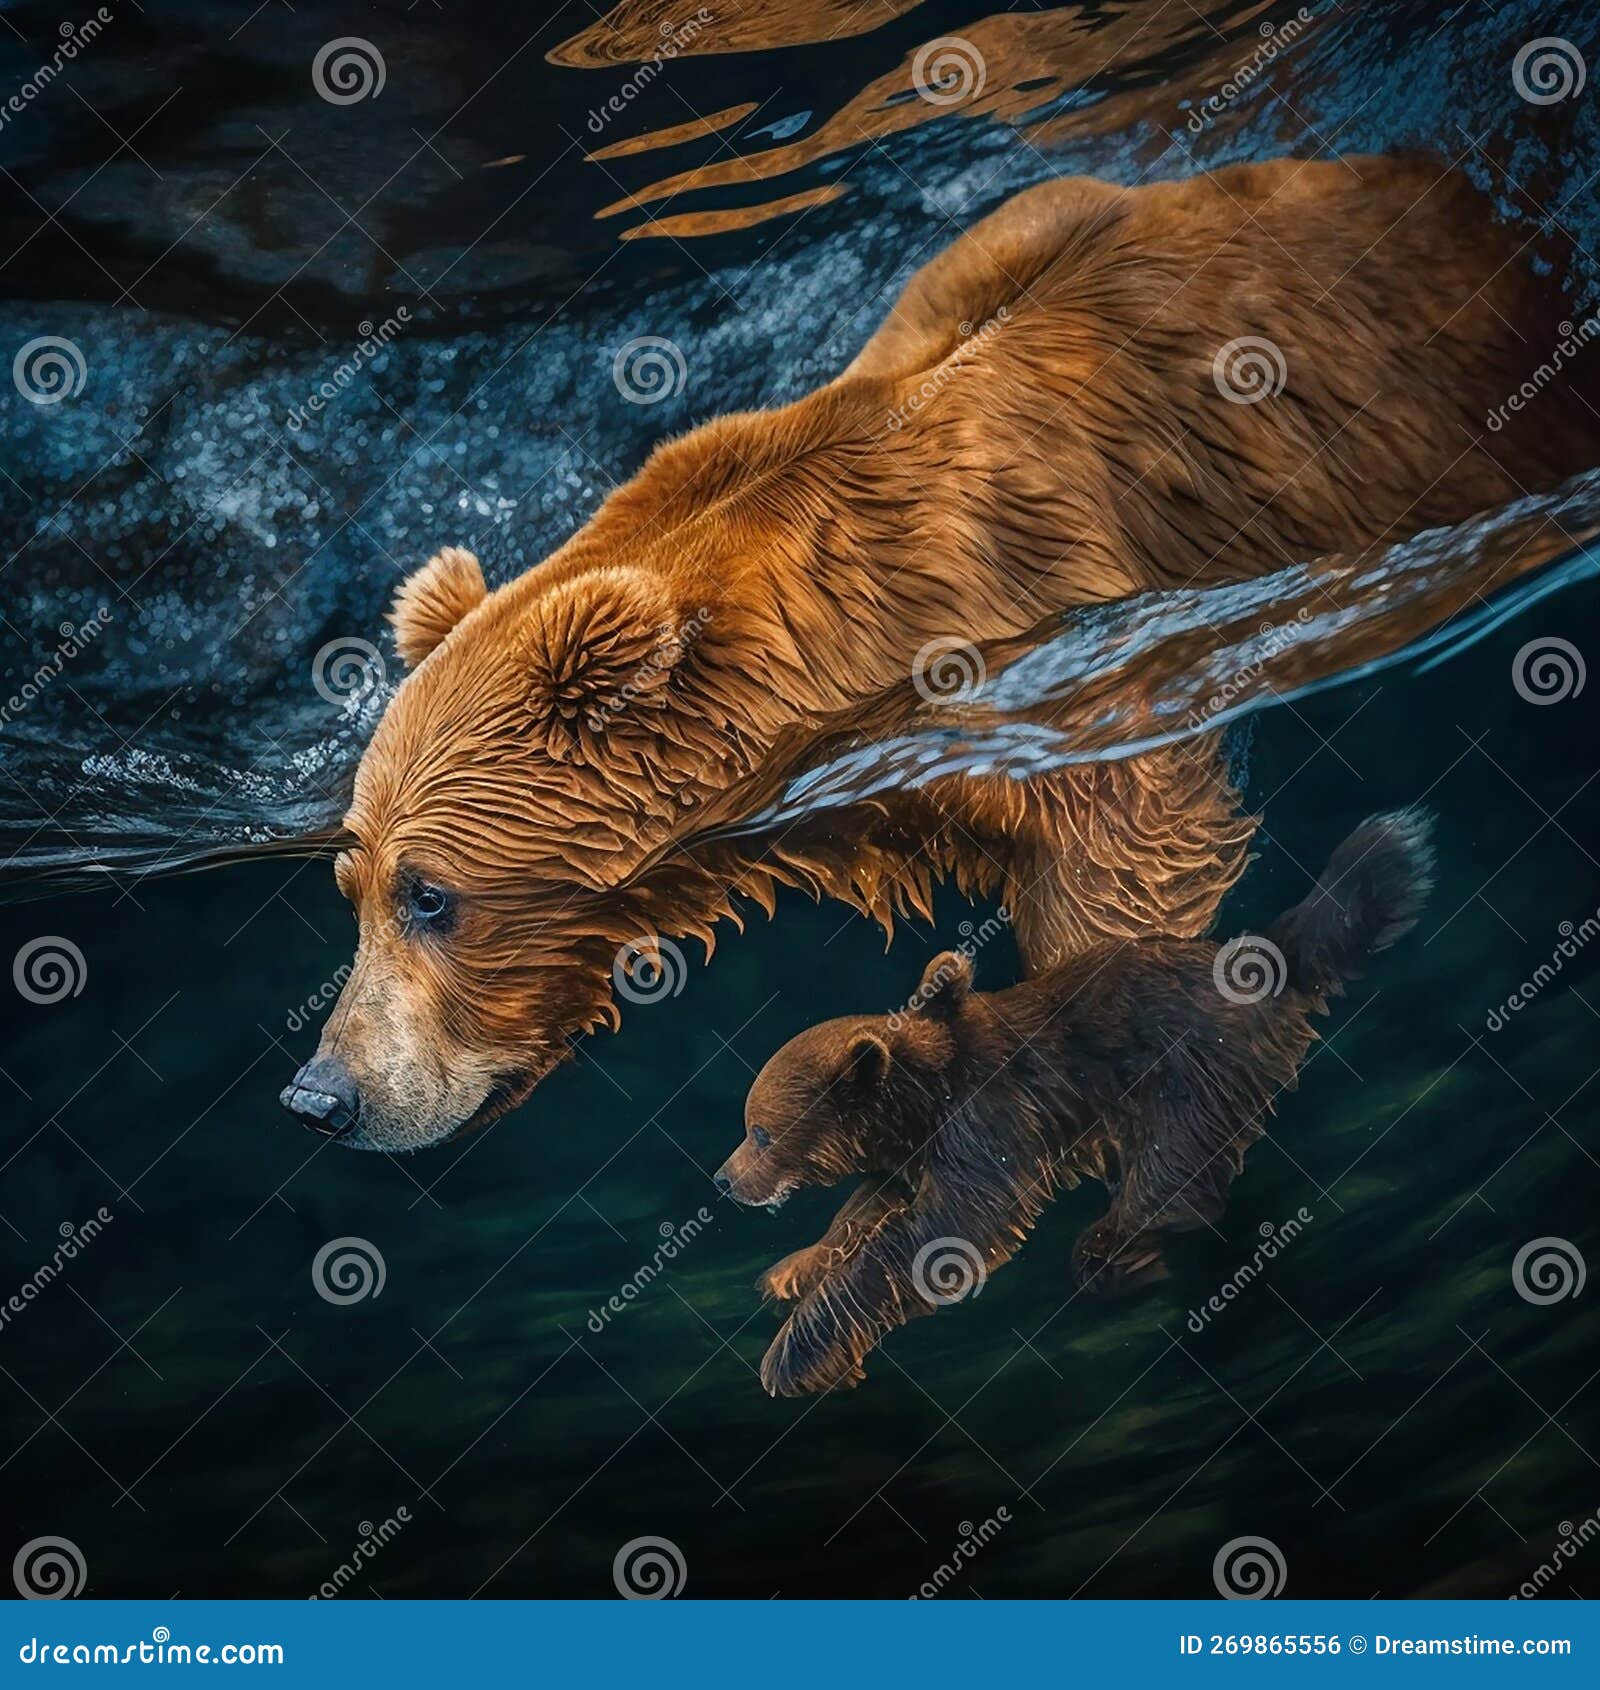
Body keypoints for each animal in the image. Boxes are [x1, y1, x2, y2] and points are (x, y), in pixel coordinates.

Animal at [715, 810, 1434, 1396]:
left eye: (760, 1131)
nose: (724, 1179)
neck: (918, 1104)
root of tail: (1259, 966)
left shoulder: (988, 1118)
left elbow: (943, 1230)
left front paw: (791, 1355)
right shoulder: (913, 1151)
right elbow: (866, 1211)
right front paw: (788, 1270)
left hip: (1189, 1069)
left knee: (1174, 1164)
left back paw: (1110, 1251)